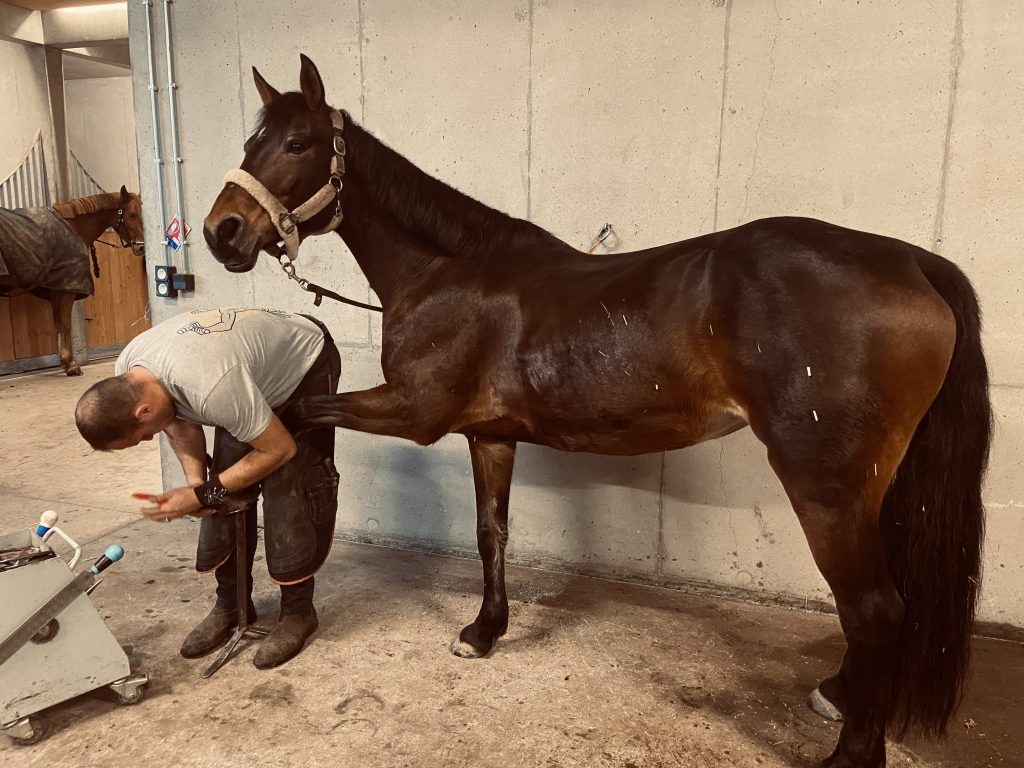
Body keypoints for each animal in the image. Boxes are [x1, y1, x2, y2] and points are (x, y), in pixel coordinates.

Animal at [0, 186, 145, 375]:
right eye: (132, 214)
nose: (141, 247)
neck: (73, 228)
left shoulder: (56, 288)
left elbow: (58, 324)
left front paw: (65, 362)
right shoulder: (67, 289)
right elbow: (66, 324)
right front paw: (71, 365)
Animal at [202, 56, 991, 768]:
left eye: (297, 144)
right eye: (250, 143)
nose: (223, 233)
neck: (448, 273)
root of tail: (914, 263)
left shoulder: (410, 413)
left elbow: (300, 412)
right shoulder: (488, 435)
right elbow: (492, 535)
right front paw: (484, 632)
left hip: (825, 487)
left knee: (874, 608)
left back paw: (851, 750)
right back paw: (838, 693)